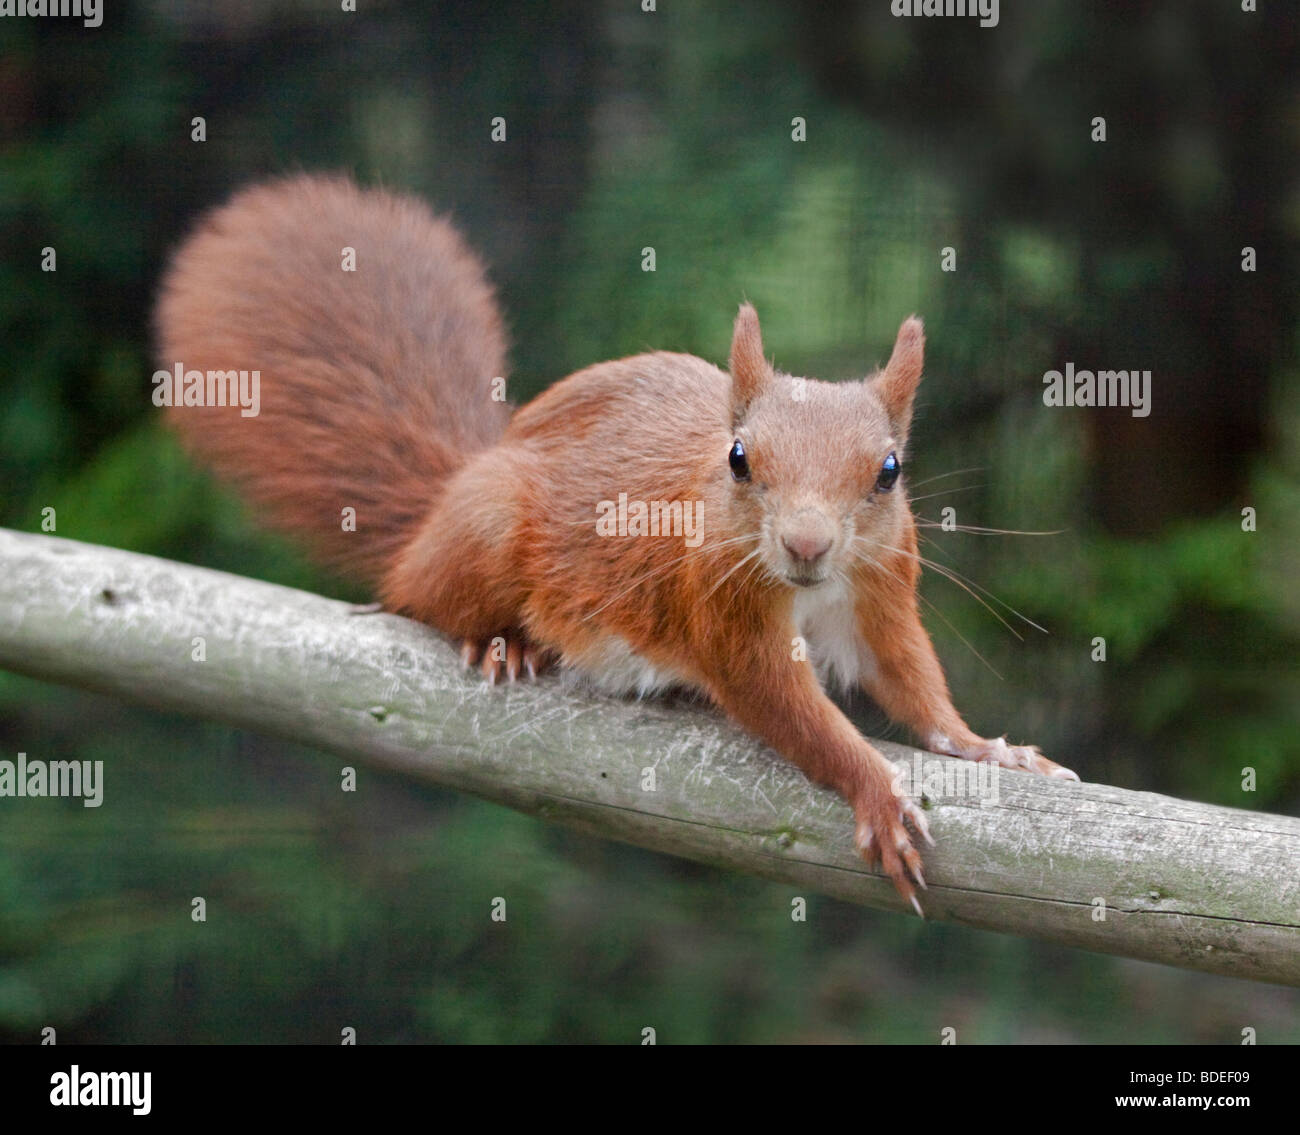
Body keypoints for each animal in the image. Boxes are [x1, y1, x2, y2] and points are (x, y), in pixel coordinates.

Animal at [155, 173, 1079, 913]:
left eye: (889, 470)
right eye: (739, 459)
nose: (807, 544)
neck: (811, 589)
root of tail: (447, 498)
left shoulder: (882, 590)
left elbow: (907, 676)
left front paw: (986, 746)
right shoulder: (722, 608)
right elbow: (787, 706)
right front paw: (877, 791)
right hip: (485, 530)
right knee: (417, 597)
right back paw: (501, 641)